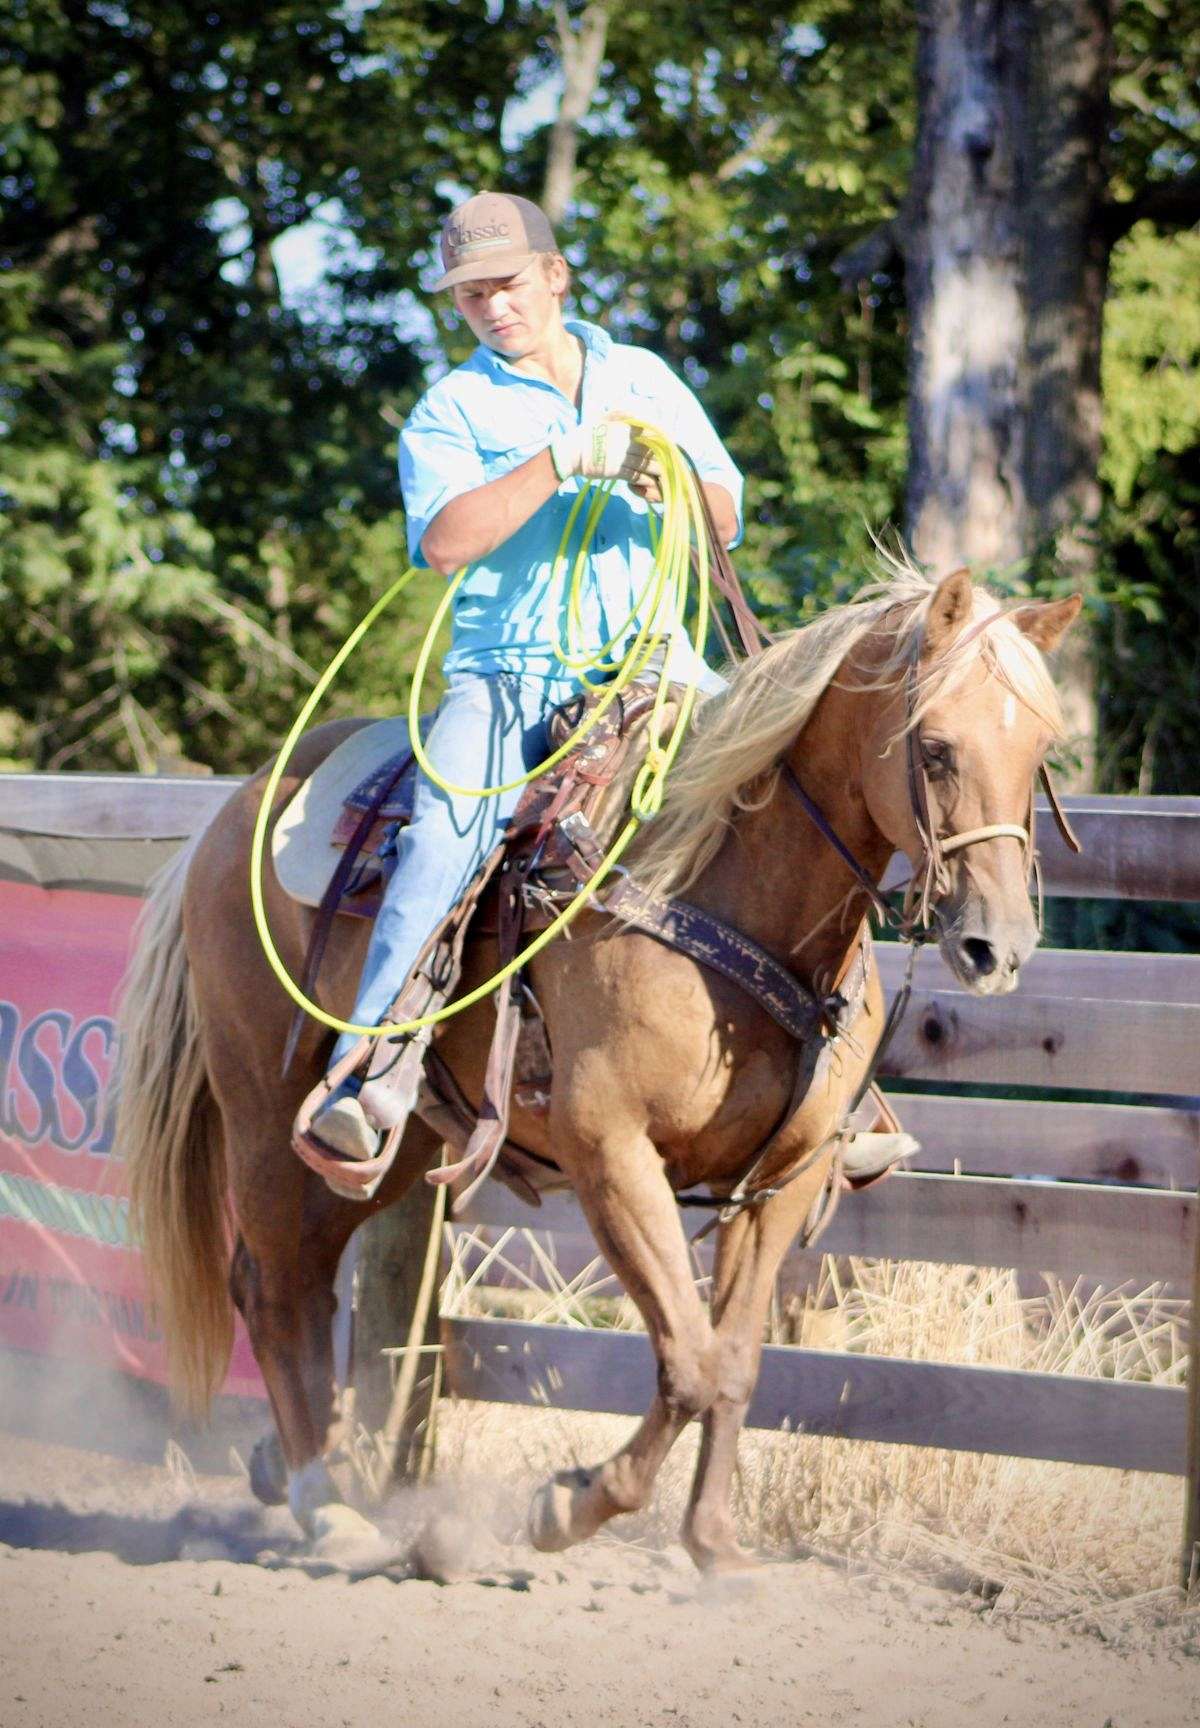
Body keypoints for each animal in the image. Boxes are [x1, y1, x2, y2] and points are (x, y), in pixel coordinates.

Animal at [116, 559, 1079, 1570]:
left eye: (1038, 753)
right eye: (933, 749)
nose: (999, 946)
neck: (729, 888)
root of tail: (229, 816)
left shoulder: (781, 1180)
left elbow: (734, 1363)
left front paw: (713, 1544)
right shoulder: (612, 1154)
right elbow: (689, 1360)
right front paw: (572, 1505)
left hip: (399, 1149)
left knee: (299, 1275)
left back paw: (291, 1468)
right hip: (263, 1113)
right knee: (268, 1285)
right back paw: (324, 1504)